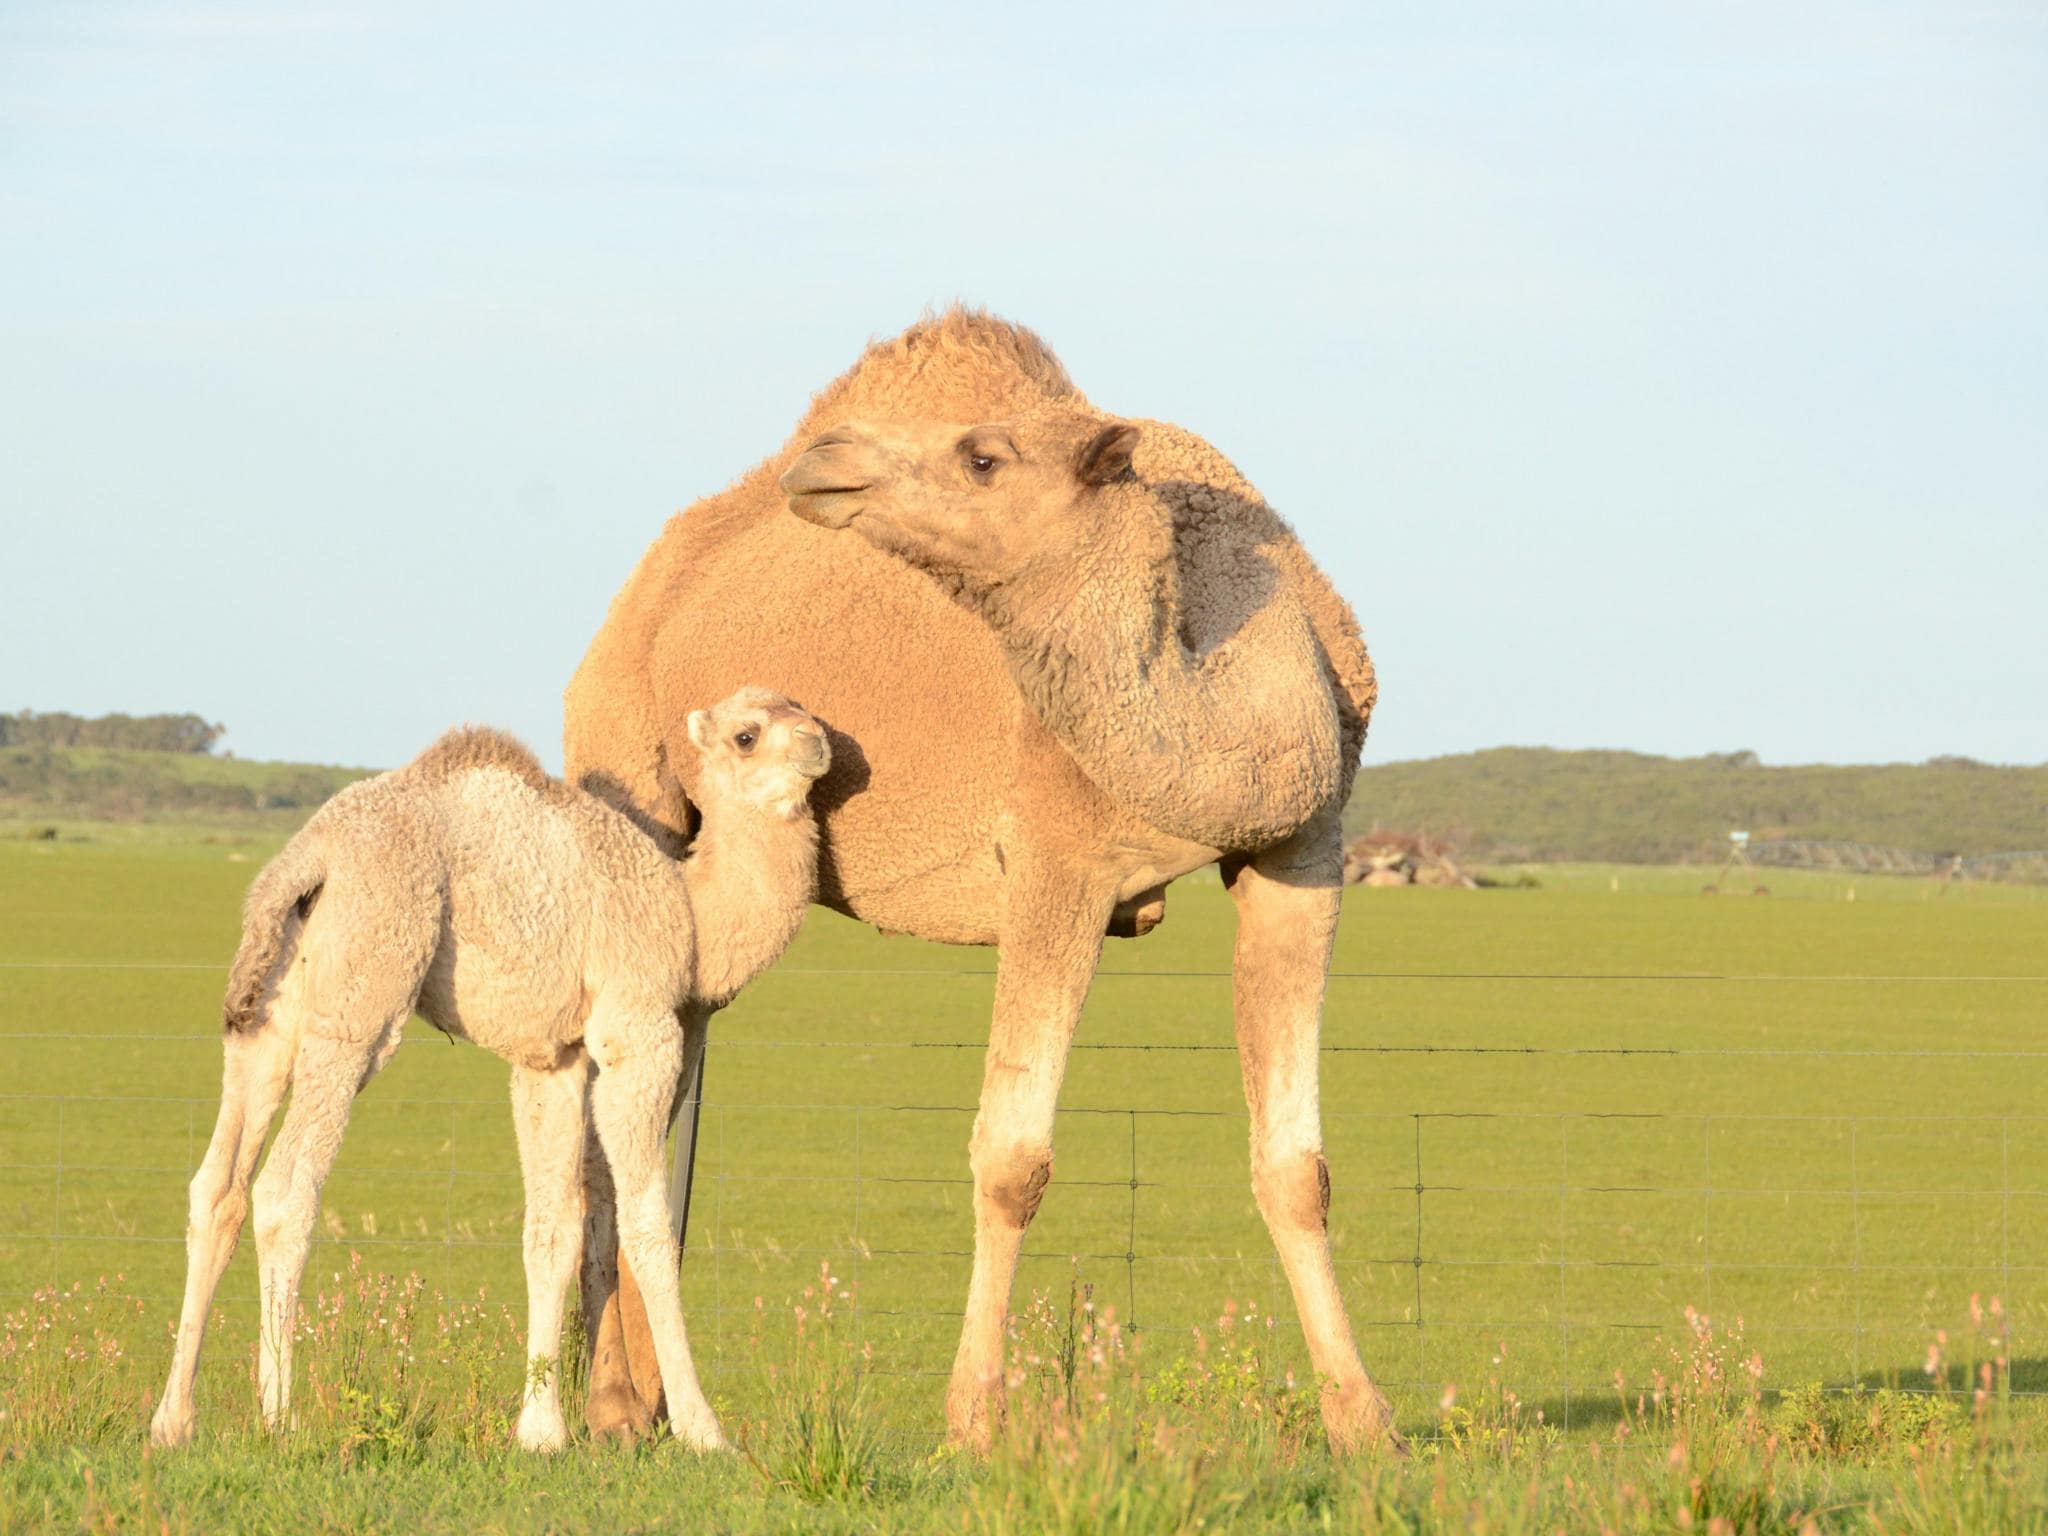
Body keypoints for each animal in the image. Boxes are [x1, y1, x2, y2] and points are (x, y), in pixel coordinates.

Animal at [149, 689, 828, 1454]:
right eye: (747, 734)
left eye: (801, 708)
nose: (820, 744)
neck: (689, 920)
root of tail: (309, 858)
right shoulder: (638, 1028)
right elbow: (649, 1227)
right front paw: (703, 1431)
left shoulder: (552, 1058)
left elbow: (552, 1229)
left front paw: (540, 1431)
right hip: (365, 988)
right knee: (285, 1189)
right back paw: (282, 1420)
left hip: (270, 1008)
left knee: (219, 1186)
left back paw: (173, 1420)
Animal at [564, 309, 1401, 1454]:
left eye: (982, 455)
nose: (823, 461)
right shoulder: (1055, 857)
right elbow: (1011, 1161)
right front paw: (970, 1424)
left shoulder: (1302, 850)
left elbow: (1296, 1168)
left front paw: (1366, 1425)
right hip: (622, 771)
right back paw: (610, 1407)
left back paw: (648, 1403)